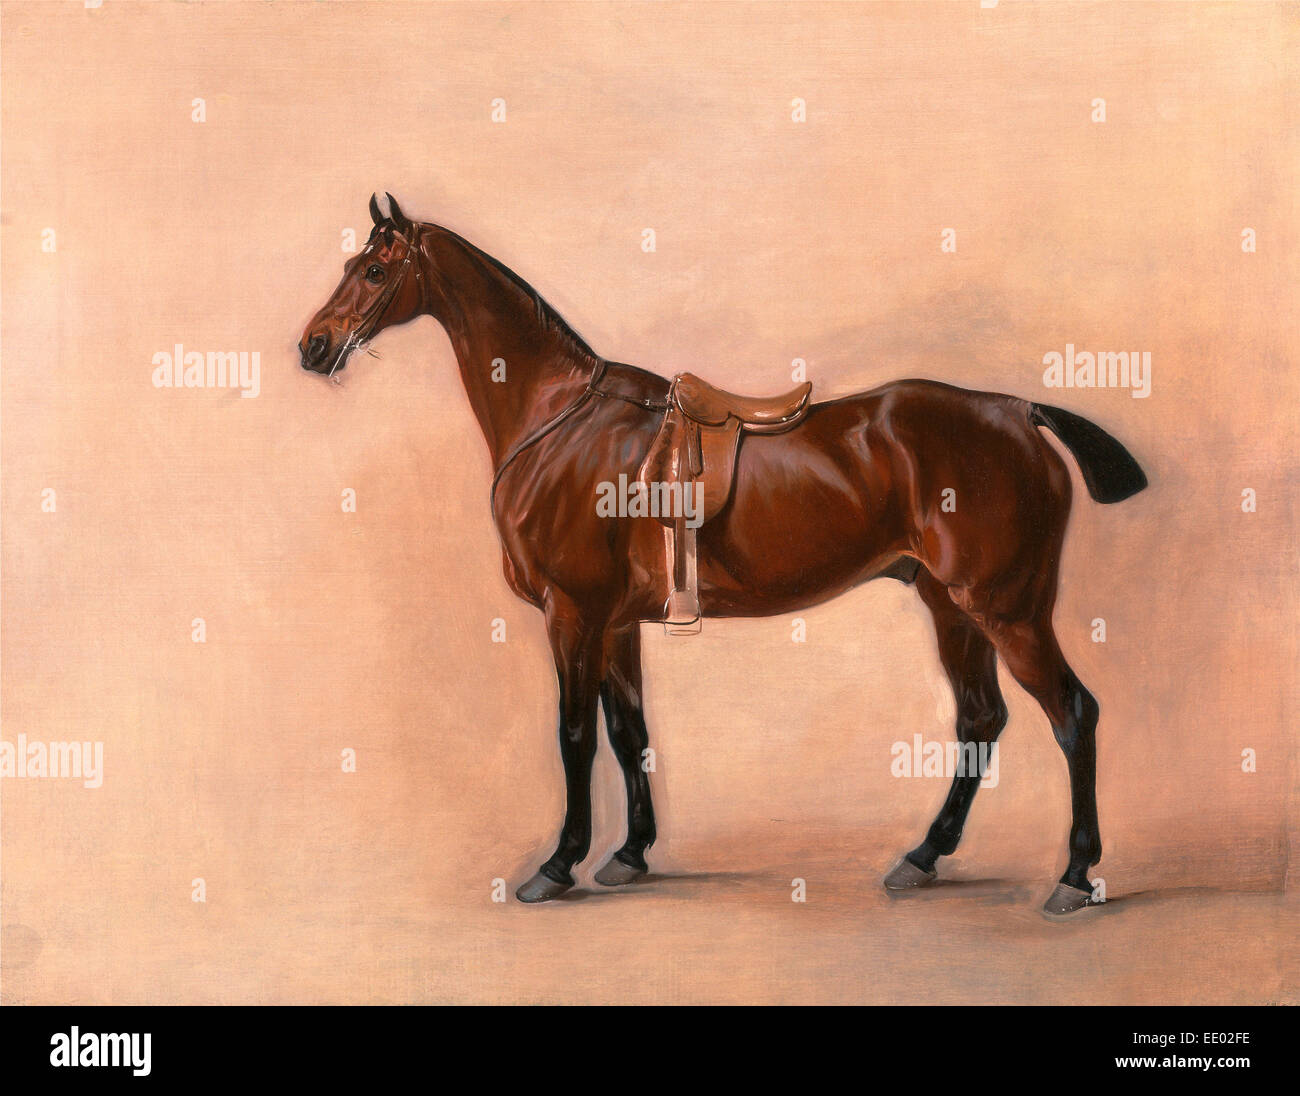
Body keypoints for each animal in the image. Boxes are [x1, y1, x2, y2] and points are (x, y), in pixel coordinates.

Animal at [298, 193, 1148, 916]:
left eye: (373, 269)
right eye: (350, 263)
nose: (312, 345)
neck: (559, 421)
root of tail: (1019, 412)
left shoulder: (572, 614)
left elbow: (574, 737)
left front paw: (558, 865)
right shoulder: (615, 623)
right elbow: (629, 734)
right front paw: (629, 855)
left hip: (1005, 607)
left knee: (1072, 713)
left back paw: (1074, 876)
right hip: (951, 606)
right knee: (980, 719)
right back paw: (923, 857)